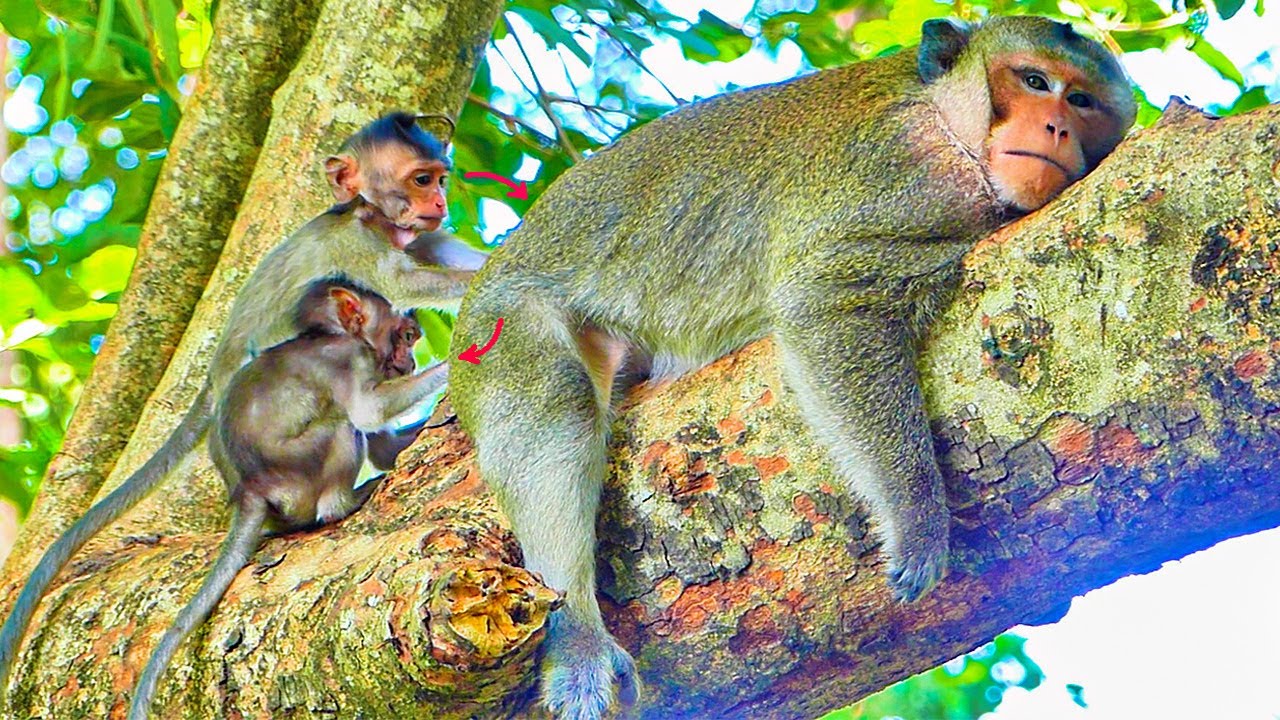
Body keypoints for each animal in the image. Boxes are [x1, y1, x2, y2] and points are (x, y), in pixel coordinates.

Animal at [126, 278, 446, 720]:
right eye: (408, 335)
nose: (411, 360)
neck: (337, 336)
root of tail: (252, 488)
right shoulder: (350, 361)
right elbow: (368, 411)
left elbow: (381, 438)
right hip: (304, 470)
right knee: (343, 425)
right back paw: (344, 503)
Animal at [447, 16, 1134, 719]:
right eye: (1035, 81)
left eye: (1082, 101)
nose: (1056, 127)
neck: (946, 120)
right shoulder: (912, 178)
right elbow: (827, 300)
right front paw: (917, 518)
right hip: (497, 323)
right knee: (554, 404)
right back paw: (578, 634)